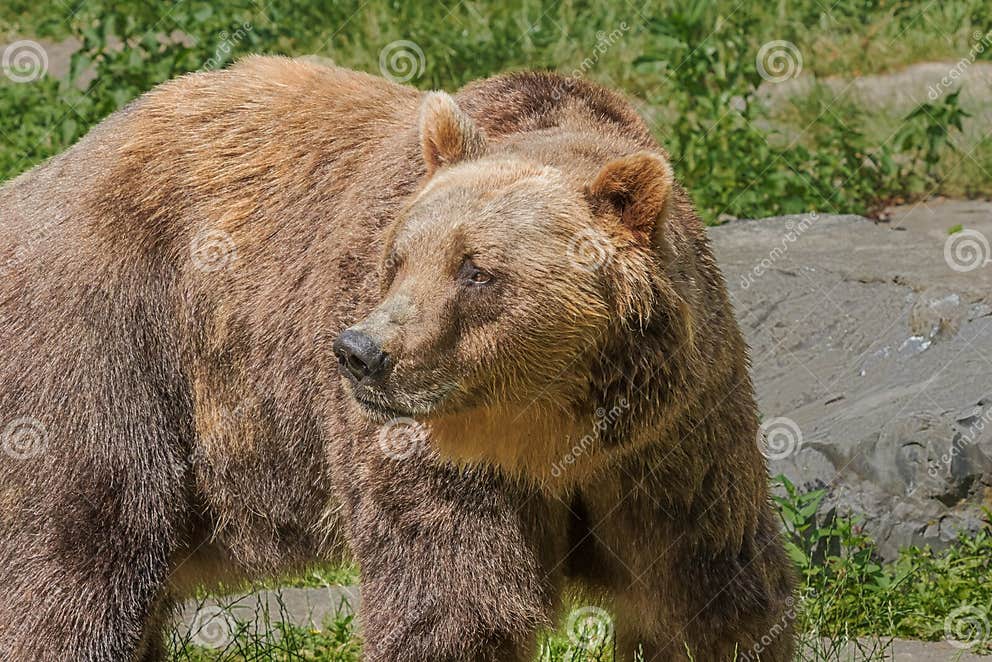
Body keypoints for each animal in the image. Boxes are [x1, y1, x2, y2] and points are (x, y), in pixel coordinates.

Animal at [0, 56, 795, 661]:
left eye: (477, 270)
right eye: (398, 258)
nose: (360, 353)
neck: (555, 423)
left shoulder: (673, 438)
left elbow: (708, 592)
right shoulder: (437, 450)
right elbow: (452, 601)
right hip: (109, 343)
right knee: (82, 554)